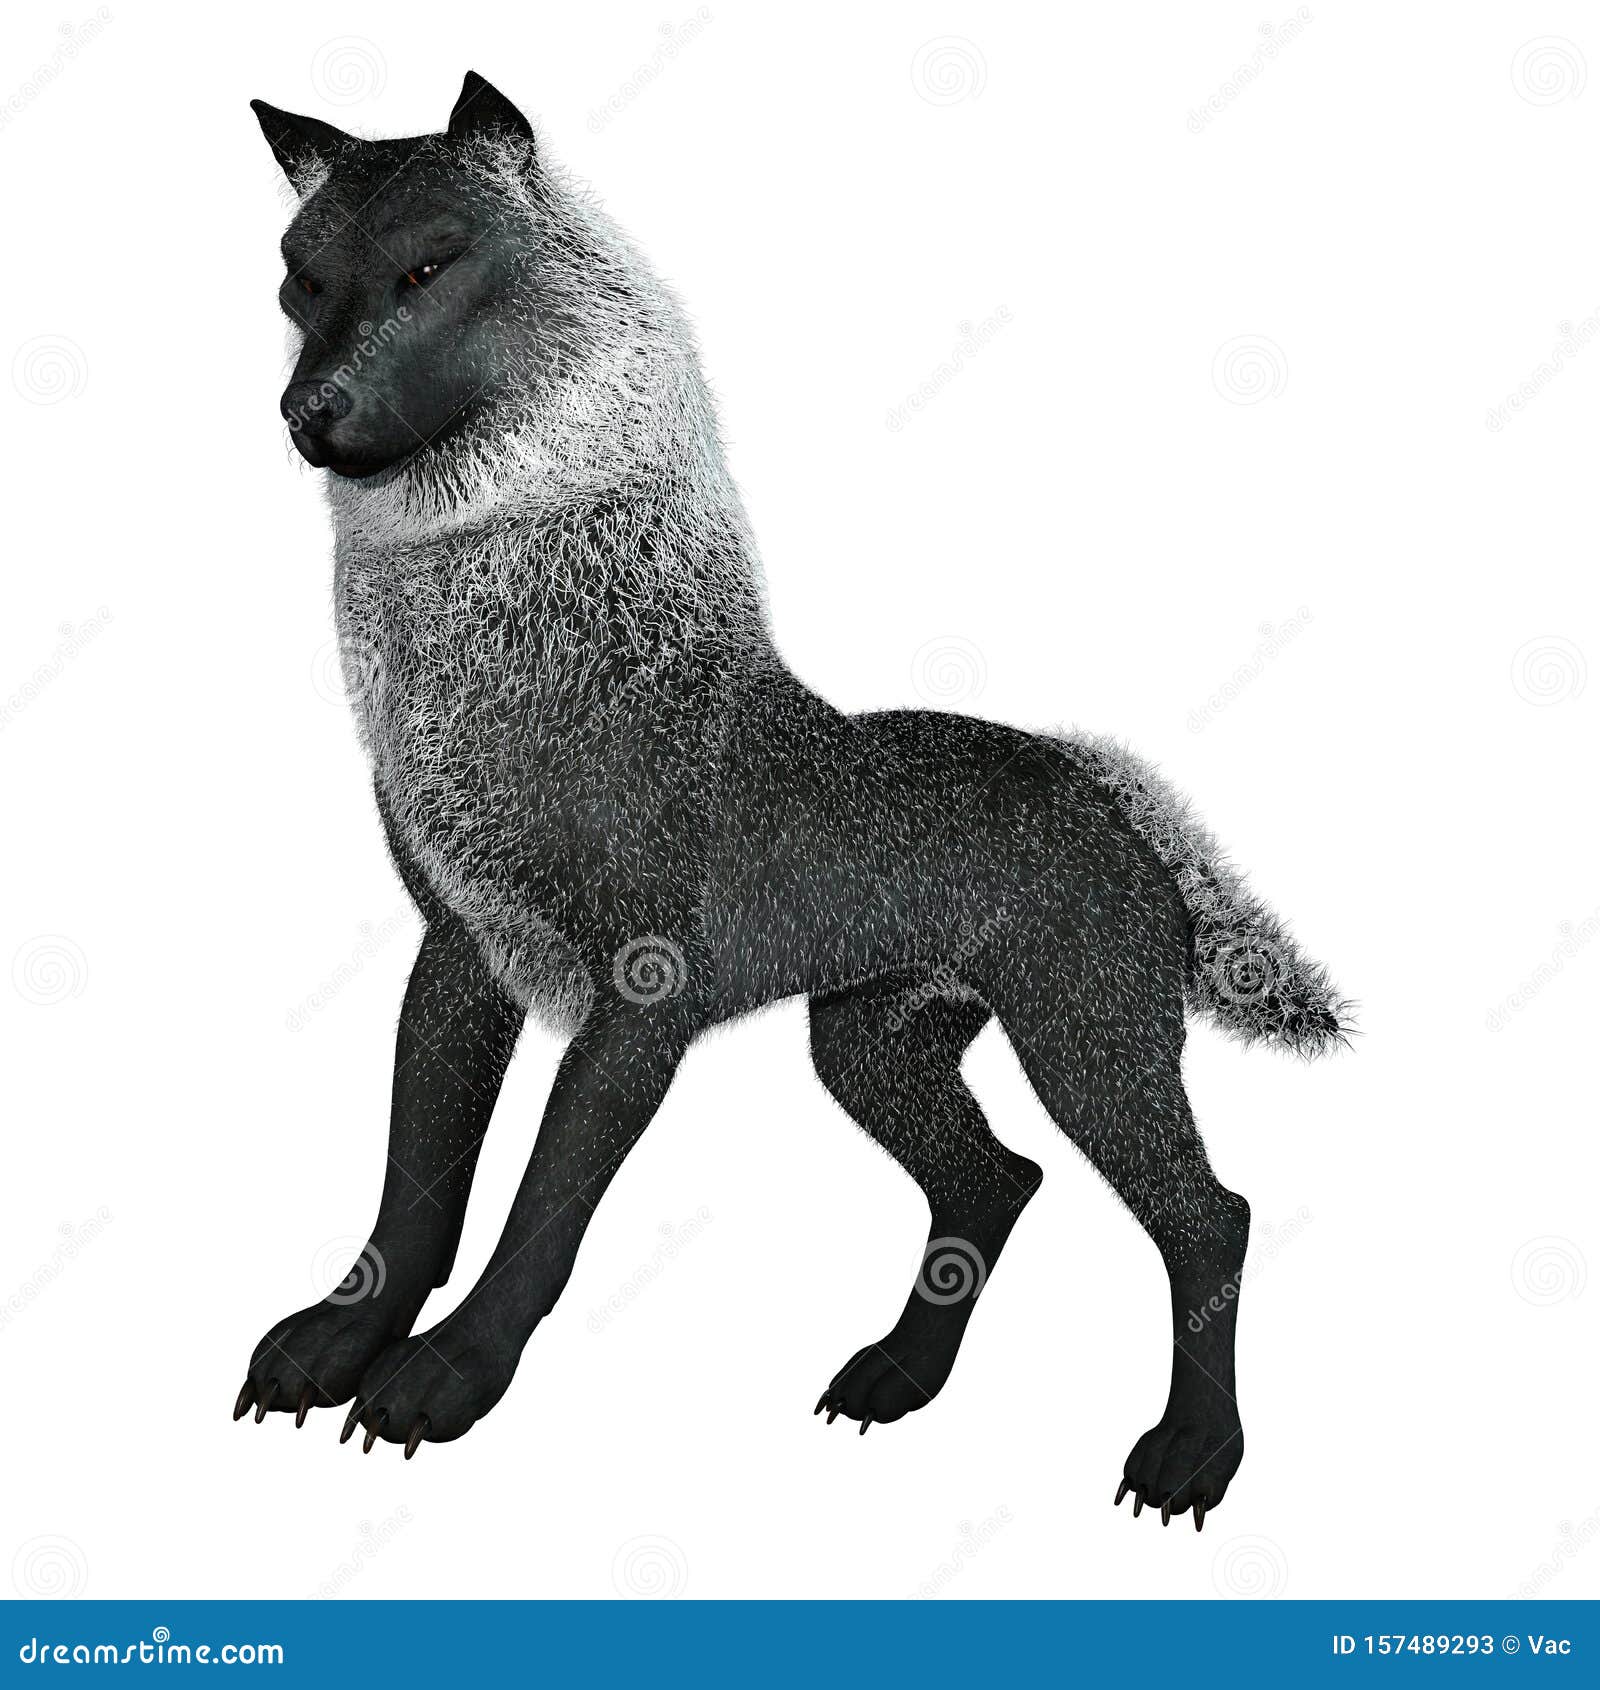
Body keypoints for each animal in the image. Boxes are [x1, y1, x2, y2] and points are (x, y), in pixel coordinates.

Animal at [237, 72, 1351, 1527]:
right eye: (297, 282)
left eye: (429, 267)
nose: (305, 413)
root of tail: (1101, 780)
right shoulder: (461, 955)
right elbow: (411, 1200)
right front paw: (337, 1340)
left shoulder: (638, 997)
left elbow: (538, 1214)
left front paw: (448, 1374)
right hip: (868, 1052)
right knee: (998, 1183)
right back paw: (898, 1377)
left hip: (1087, 1054)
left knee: (1210, 1218)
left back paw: (1192, 1453)